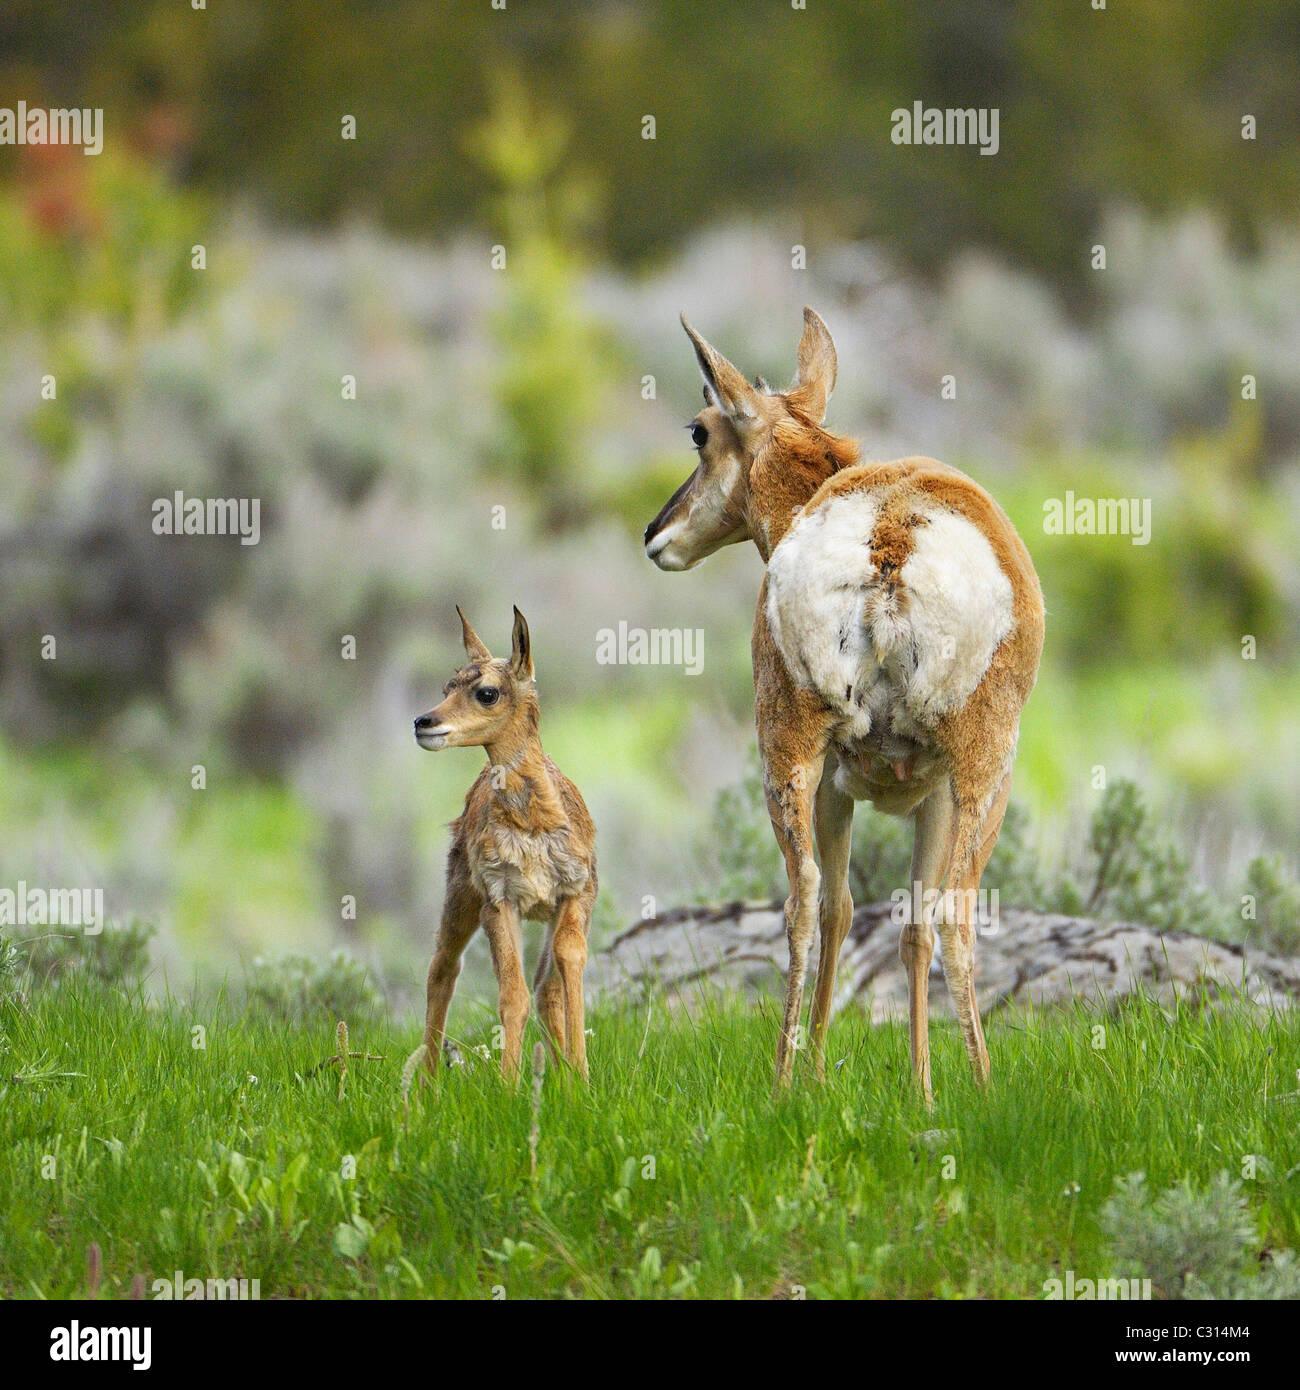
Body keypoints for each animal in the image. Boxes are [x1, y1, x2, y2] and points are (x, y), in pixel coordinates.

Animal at [413, 607, 597, 1081]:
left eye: (487, 692)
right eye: (447, 686)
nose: (423, 722)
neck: (534, 825)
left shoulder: (577, 892)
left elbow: (568, 964)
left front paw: (581, 1077)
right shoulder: (500, 901)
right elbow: (512, 994)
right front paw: (508, 1085)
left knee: (546, 986)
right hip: (460, 897)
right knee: (442, 967)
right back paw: (426, 1086)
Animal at [644, 309, 1044, 1101]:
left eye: (700, 431)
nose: (655, 535)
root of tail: (889, 528)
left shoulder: (868, 788)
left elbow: (873, 915)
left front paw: (891, 1080)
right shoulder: (905, 790)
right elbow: (870, 914)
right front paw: (902, 1078)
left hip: (803, 755)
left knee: (810, 898)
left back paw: (785, 1081)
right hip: (970, 771)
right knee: (937, 906)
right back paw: (976, 1085)